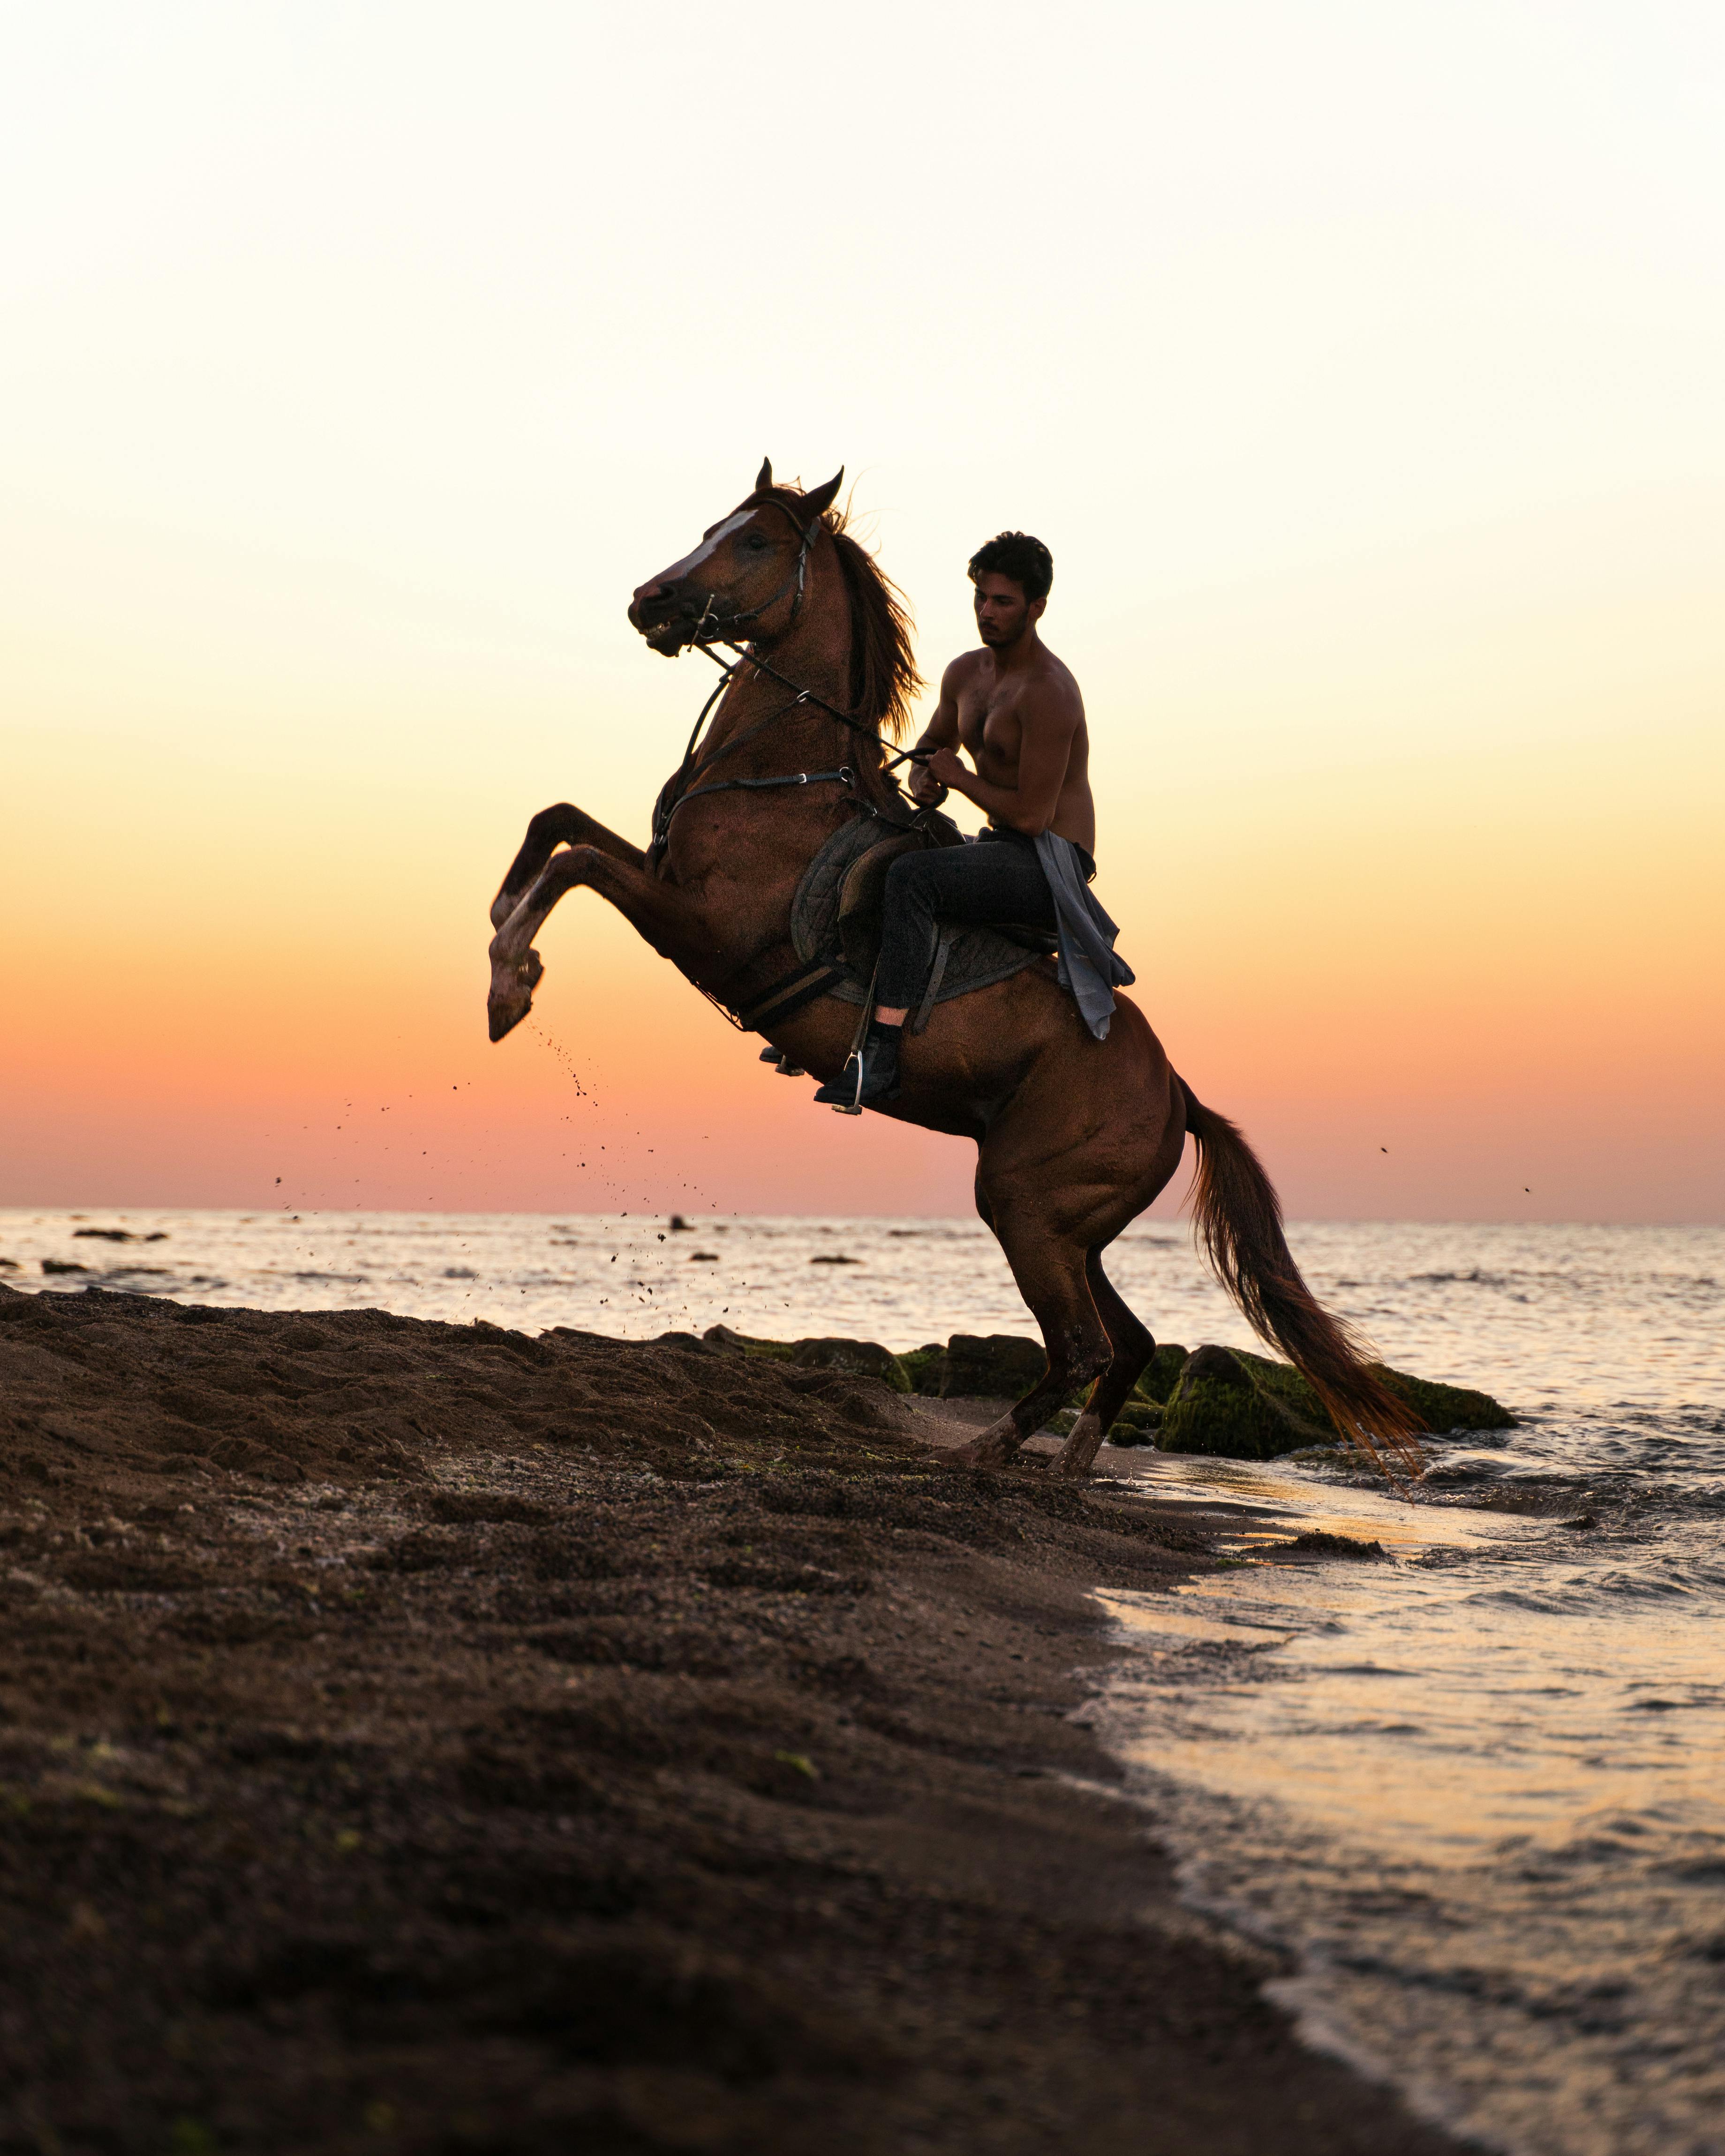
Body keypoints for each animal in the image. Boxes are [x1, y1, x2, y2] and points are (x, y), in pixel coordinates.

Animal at [485, 461, 1422, 1481]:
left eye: (756, 541)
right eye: (710, 527)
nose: (647, 602)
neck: (779, 777)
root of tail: (1180, 1095)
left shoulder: (702, 928)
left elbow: (576, 861)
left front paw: (509, 983)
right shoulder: (662, 878)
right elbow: (557, 819)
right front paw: (501, 927)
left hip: (1025, 1204)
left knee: (1082, 1347)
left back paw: (981, 1452)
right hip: (1067, 1223)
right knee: (1125, 1343)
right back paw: (1067, 1466)